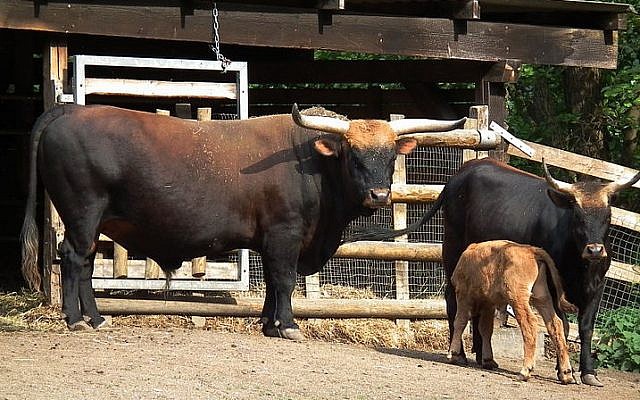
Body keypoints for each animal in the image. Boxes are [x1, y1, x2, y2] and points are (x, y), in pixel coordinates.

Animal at [20, 103, 465, 340]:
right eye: (352, 155)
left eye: (390, 157)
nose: (379, 195)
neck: (311, 162)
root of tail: (71, 109)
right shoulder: (285, 234)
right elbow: (284, 280)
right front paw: (288, 326)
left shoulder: (271, 240)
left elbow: (272, 283)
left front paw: (269, 323)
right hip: (83, 213)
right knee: (74, 258)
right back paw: (79, 319)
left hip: (91, 220)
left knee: (83, 262)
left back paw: (93, 317)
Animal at [449, 240, 577, 384]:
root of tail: (532, 250)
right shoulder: (488, 303)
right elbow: (486, 329)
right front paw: (488, 360)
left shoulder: (463, 296)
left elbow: (459, 322)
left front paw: (453, 354)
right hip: (542, 298)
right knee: (556, 325)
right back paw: (566, 374)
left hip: (518, 298)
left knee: (529, 323)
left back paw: (525, 371)